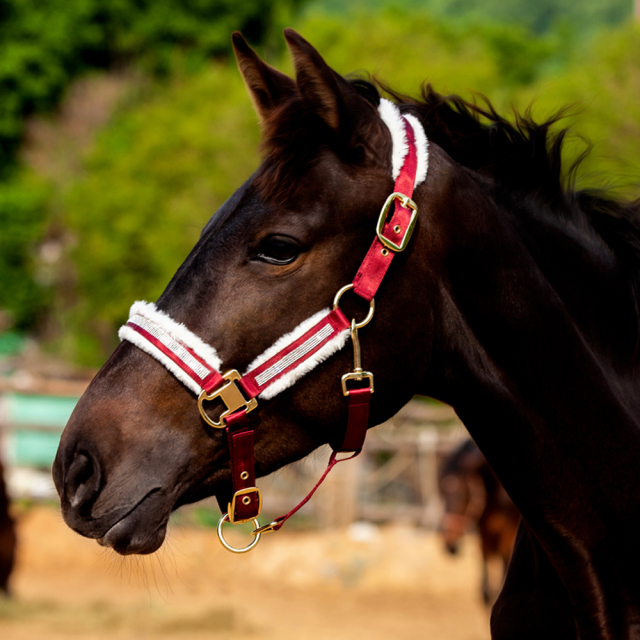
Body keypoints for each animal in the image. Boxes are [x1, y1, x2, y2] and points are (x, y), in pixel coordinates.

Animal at [440, 438, 520, 605]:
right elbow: (486, 593)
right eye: (442, 492)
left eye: (463, 494)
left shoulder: (508, 534)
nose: (449, 544)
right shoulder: (485, 532)